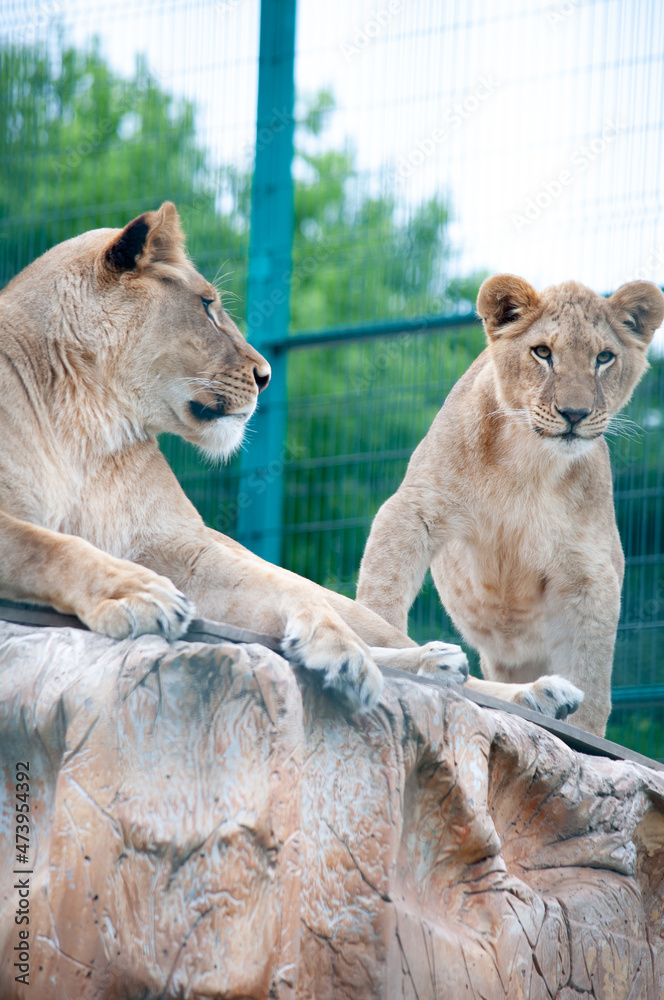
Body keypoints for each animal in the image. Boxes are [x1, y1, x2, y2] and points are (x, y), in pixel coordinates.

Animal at [0, 205, 583, 719]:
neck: (91, 425)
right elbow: (50, 546)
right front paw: (136, 592)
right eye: (207, 306)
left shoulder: (182, 552)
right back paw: (435, 664)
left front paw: (337, 649)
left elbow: (279, 594)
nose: (264, 376)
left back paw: (525, 687)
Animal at [356, 273, 664, 735]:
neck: (528, 461)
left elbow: (590, 675)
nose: (574, 414)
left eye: (604, 358)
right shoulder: (414, 509)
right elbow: (381, 591)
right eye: (543, 352)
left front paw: (582, 730)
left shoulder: (590, 570)